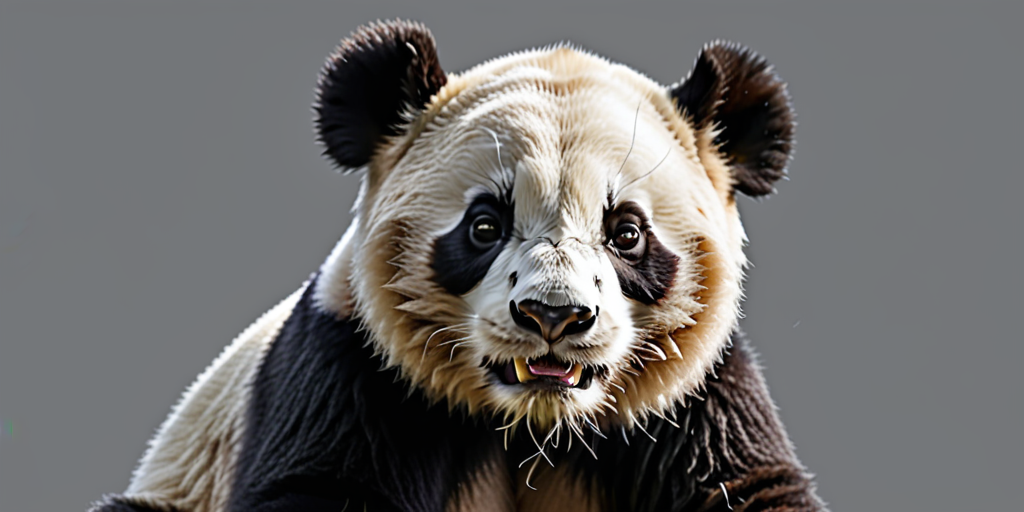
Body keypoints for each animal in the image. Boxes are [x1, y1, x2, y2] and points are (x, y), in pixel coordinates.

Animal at [90, 19, 825, 512]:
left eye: (627, 233)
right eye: (484, 226)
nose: (553, 316)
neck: (533, 424)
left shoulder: (696, 401)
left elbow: (744, 485)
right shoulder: (355, 369)